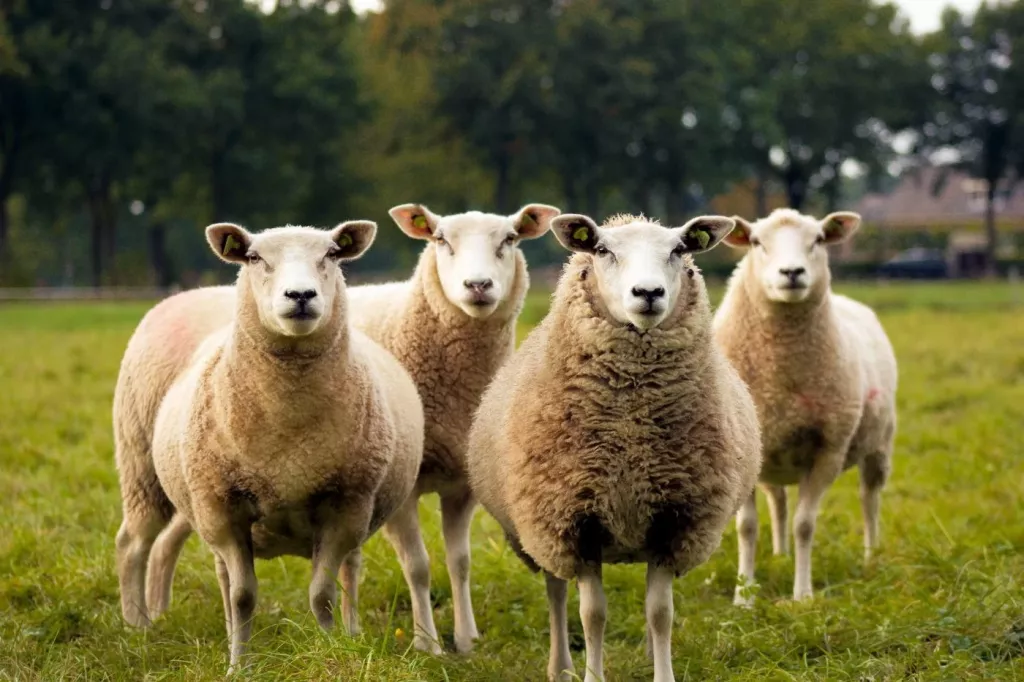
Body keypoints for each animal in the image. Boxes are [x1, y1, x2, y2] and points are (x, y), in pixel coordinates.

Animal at [118, 221, 425, 671]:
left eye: (332, 254)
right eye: (254, 257)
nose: (300, 295)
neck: (288, 435)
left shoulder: (345, 507)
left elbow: (322, 595)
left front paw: (331, 651)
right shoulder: (223, 509)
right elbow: (243, 596)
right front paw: (238, 667)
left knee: (345, 567)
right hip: (143, 468)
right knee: (136, 543)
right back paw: (137, 627)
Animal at [344, 202, 560, 654]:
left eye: (510, 238)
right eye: (441, 239)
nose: (477, 285)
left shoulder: (463, 484)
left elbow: (459, 562)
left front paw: (465, 638)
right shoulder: (404, 487)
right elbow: (418, 566)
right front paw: (427, 643)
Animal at [466, 213, 762, 682]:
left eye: (680, 250)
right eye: (603, 250)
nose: (648, 293)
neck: (630, 431)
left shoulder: (673, 520)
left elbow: (660, 613)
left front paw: (663, 674)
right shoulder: (575, 521)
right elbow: (592, 615)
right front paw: (592, 675)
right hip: (542, 532)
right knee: (556, 593)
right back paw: (561, 667)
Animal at [713, 208, 898, 603]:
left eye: (818, 240)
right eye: (756, 242)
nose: (792, 273)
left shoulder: (829, 450)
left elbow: (805, 525)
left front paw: (802, 595)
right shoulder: (741, 453)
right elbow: (747, 527)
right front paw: (744, 596)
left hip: (879, 444)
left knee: (869, 499)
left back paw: (871, 556)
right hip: (771, 457)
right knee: (779, 500)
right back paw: (780, 555)